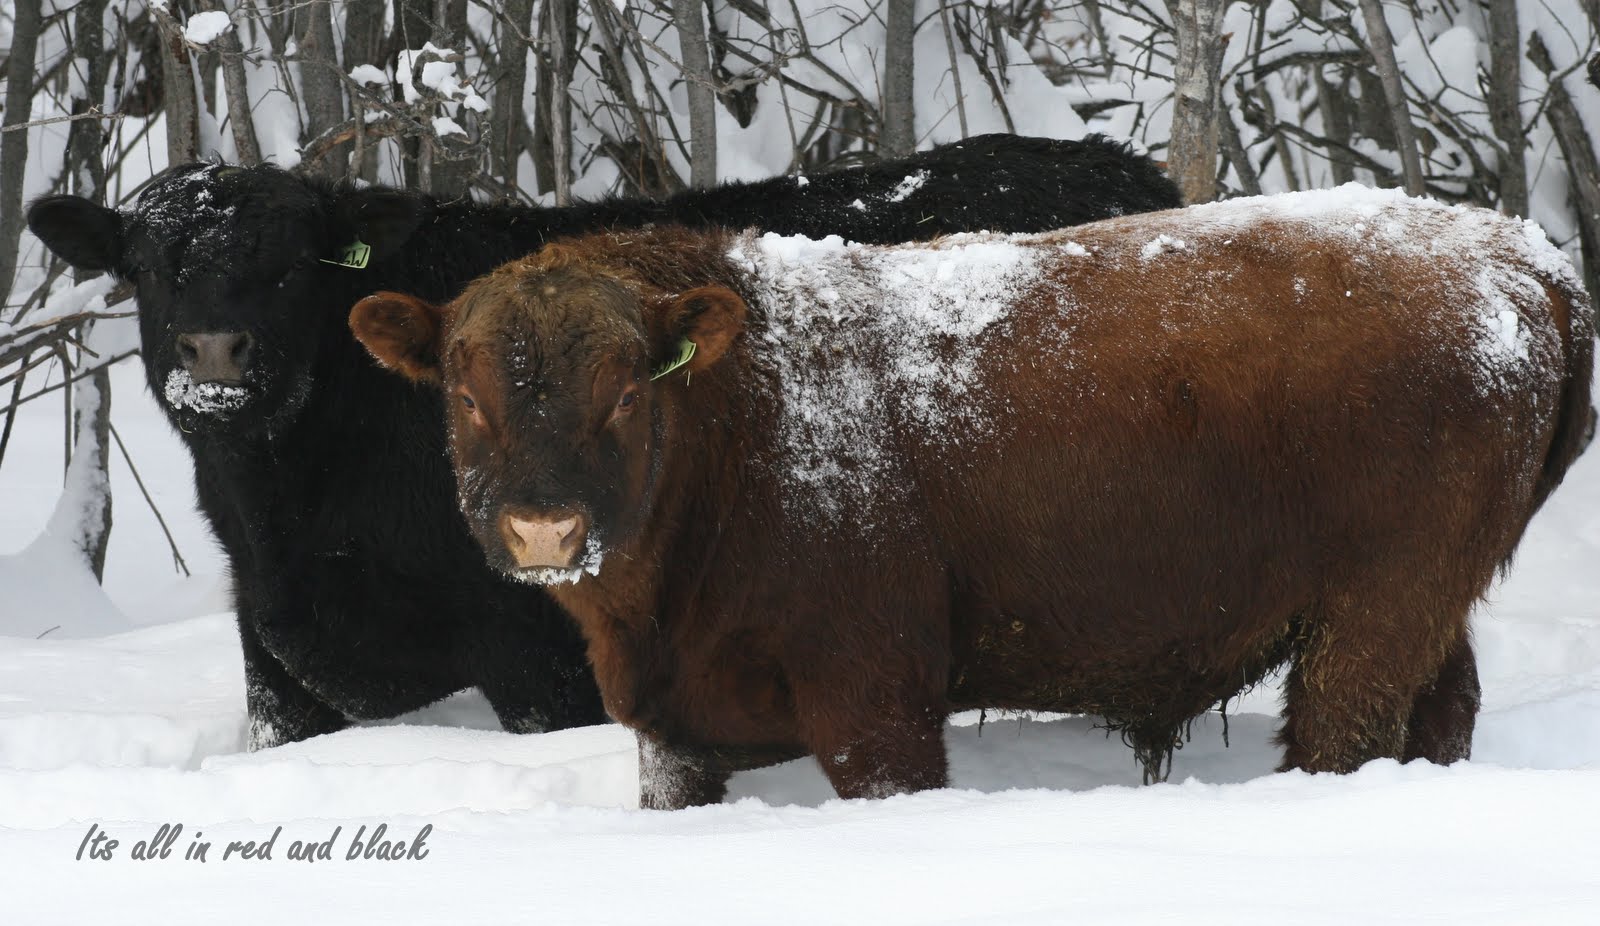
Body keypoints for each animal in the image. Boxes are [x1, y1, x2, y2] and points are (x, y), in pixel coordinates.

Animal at [25, 134, 1182, 749]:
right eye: (149, 262)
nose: (215, 349)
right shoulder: (277, 664)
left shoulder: (544, 654)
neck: (292, 512)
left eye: (290, 263)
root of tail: (1114, 165)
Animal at [349, 186, 1594, 808]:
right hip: (1422, 615)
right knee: (1441, 710)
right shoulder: (674, 736)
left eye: (622, 390)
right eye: (464, 391)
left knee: (1346, 730)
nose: (543, 525)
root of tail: (1523, 256)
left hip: (1368, 618)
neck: (741, 416)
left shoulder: (877, 704)